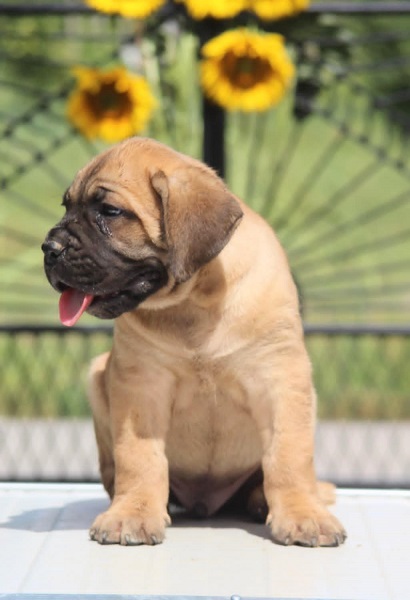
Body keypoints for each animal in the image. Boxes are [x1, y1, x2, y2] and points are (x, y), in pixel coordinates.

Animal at [43, 137, 346, 548]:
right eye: (66, 207)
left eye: (110, 212)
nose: (48, 248)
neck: (193, 304)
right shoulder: (140, 384)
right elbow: (139, 457)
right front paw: (132, 513)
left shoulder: (280, 375)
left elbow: (289, 454)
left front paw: (303, 515)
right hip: (97, 373)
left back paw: (262, 500)